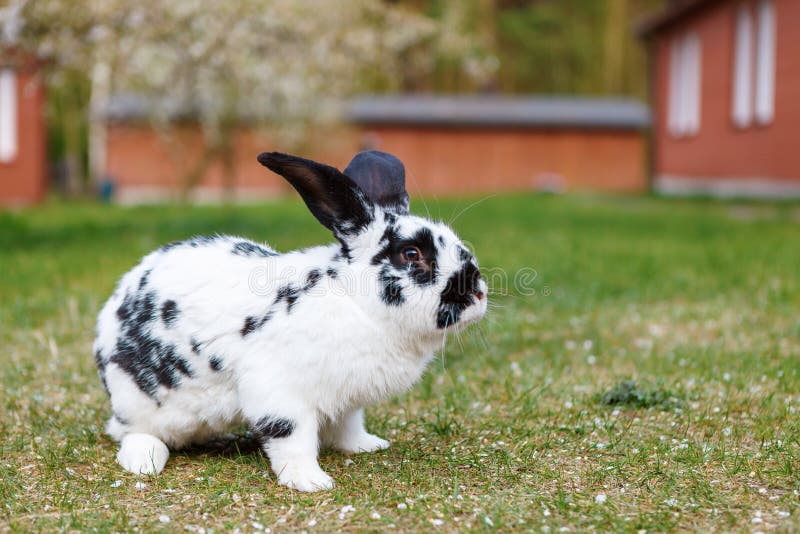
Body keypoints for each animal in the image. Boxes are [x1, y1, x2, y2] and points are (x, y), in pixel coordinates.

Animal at [93, 150, 488, 492]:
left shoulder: (346, 401)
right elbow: (292, 438)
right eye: (411, 253)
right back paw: (144, 461)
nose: (478, 292)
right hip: (140, 402)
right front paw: (311, 482)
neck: (354, 302)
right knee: (134, 432)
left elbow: (348, 427)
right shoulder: (278, 392)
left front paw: (367, 445)